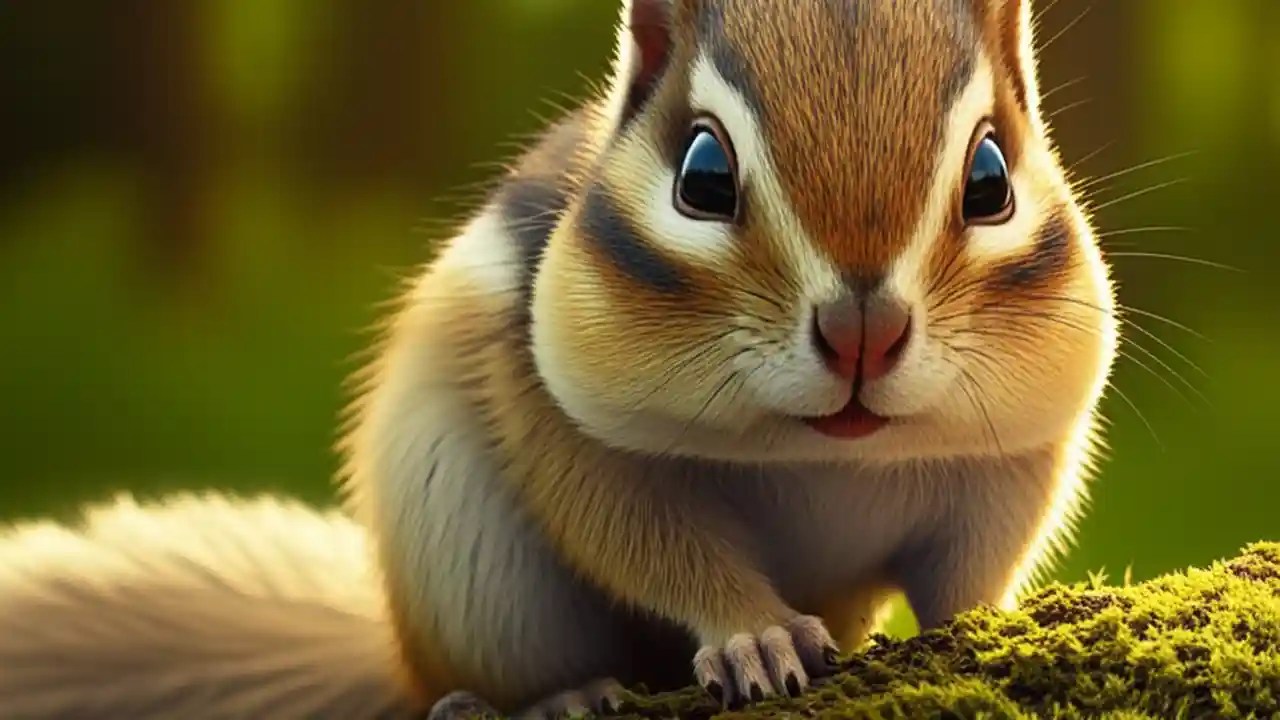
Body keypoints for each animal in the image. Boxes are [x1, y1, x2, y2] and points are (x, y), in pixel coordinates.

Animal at [0, 0, 1119, 718]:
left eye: (989, 177)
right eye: (702, 175)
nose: (861, 333)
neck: (825, 453)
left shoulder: (1015, 456)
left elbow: (973, 567)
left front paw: (988, 624)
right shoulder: (556, 414)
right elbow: (646, 537)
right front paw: (751, 632)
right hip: (476, 573)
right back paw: (563, 695)